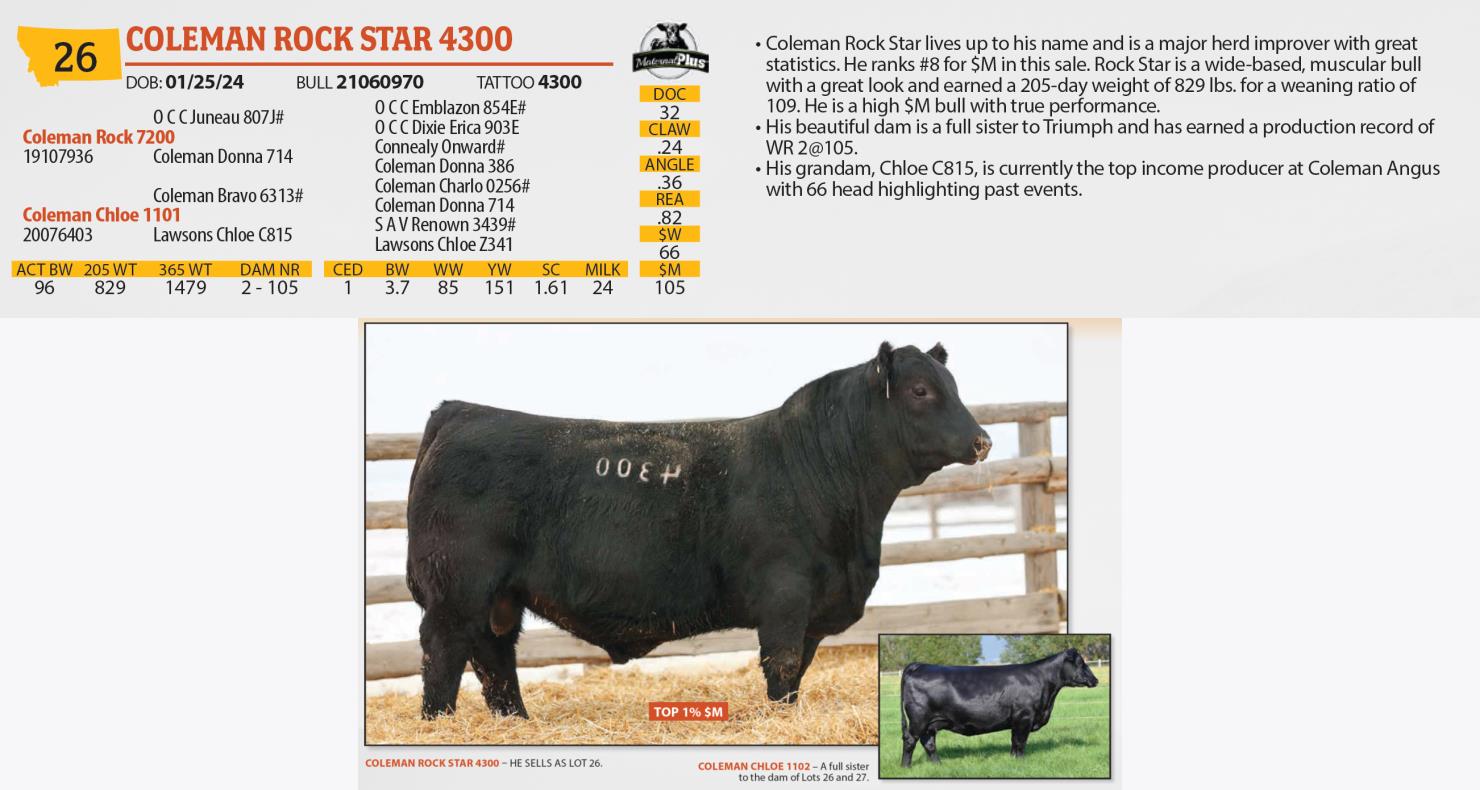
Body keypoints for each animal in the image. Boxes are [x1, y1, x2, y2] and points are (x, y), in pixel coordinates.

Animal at [404, 342, 992, 720]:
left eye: (953, 385)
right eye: (920, 390)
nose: (982, 440)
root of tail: (459, 412)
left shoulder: (814, 610)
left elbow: (798, 673)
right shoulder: (785, 596)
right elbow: (782, 668)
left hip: (498, 598)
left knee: (493, 657)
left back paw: (515, 722)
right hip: (457, 588)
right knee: (443, 652)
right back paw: (439, 723)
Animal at [899, 649, 1100, 766]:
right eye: (1081, 663)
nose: (1095, 680)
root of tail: (919, 665)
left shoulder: (1017, 721)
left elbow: (1014, 742)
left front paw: (1013, 762)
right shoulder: (1024, 717)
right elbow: (1020, 742)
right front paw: (1021, 763)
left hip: (931, 723)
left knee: (928, 742)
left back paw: (938, 765)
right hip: (918, 719)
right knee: (910, 741)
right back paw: (906, 767)